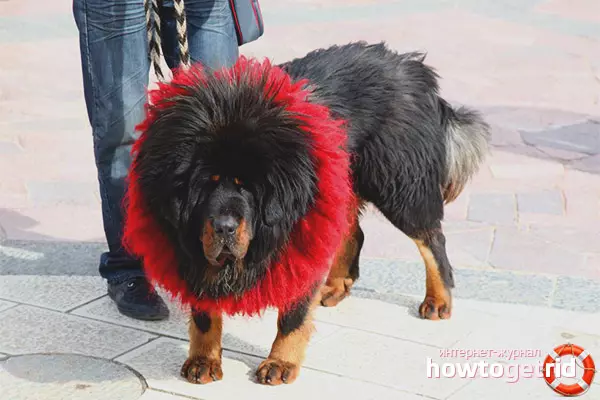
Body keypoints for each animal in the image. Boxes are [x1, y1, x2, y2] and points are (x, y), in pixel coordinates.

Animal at [122, 40, 488, 384]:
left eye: (247, 187)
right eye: (205, 185)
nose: (224, 226)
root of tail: (410, 67)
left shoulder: (299, 237)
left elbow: (293, 315)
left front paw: (280, 362)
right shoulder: (187, 246)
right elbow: (203, 313)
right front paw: (204, 358)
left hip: (398, 184)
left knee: (431, 240)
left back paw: (439, 299)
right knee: (353, 232)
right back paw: (336, 285)